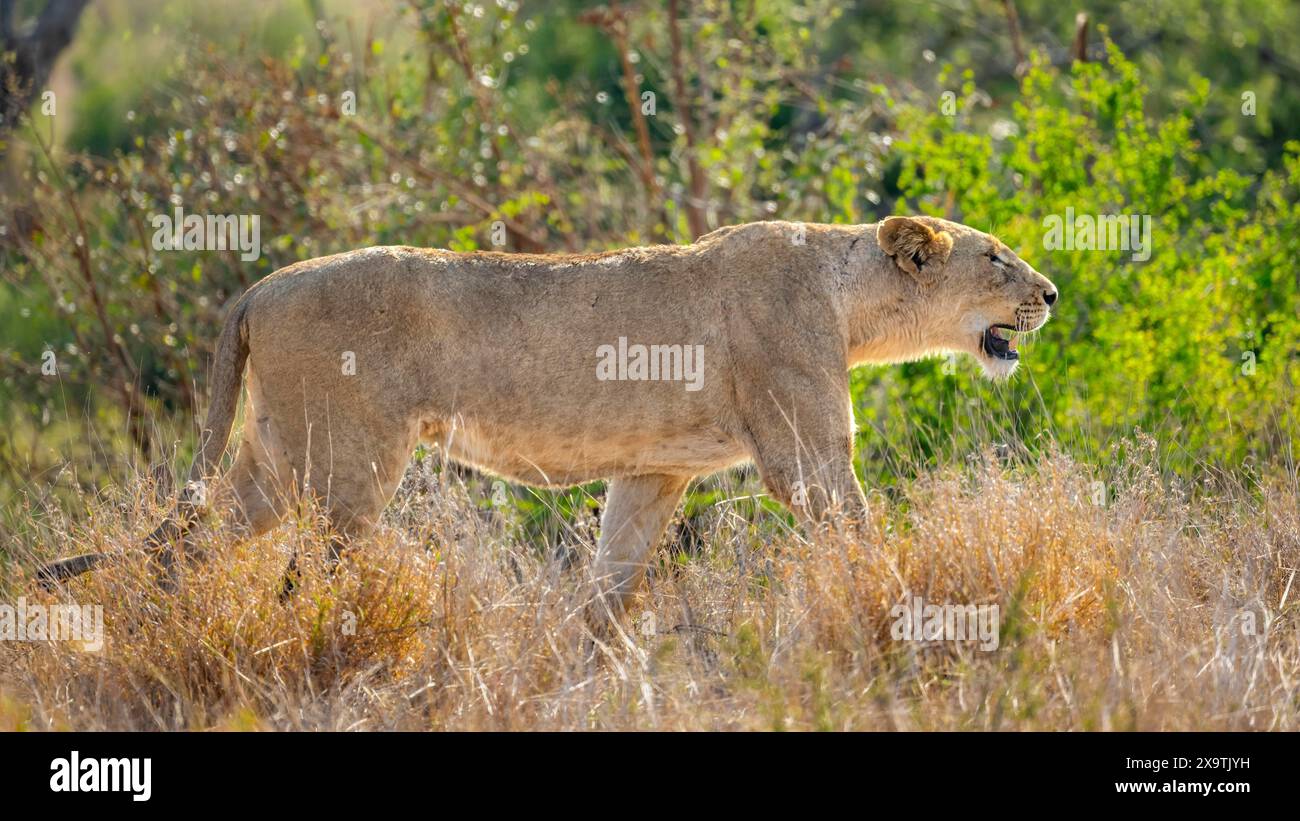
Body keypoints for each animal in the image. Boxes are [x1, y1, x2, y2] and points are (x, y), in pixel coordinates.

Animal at [37, 216, 1057, 619]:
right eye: (996, 257)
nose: (1050, 292)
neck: (850, 300)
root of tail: (258, 285)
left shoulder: (654, 472)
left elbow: (610, 585)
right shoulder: (805, 455)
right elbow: (860, 539)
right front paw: (902, 604)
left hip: (273, 458)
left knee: (184, 546)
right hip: (349, 464)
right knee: (302, 578)